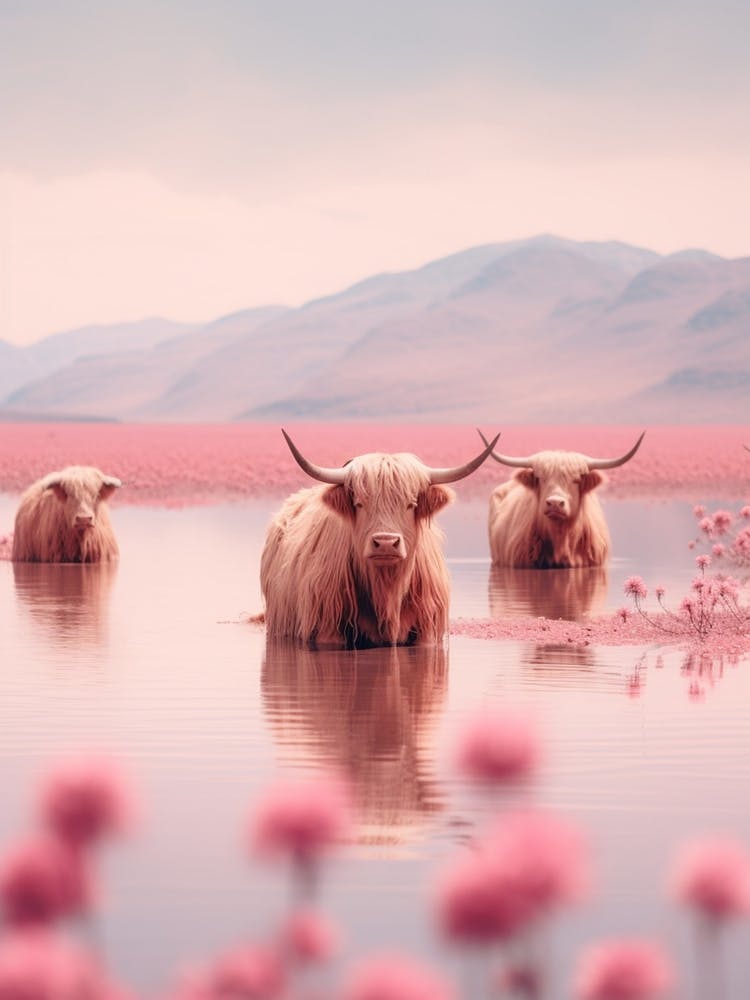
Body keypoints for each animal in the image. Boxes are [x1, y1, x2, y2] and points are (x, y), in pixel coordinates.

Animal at [259, 430, 500, 648]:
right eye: (359, 503)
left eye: (411, 504)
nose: (386, 543)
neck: (387, 591)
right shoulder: (327, 629)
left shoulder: (426, 631)